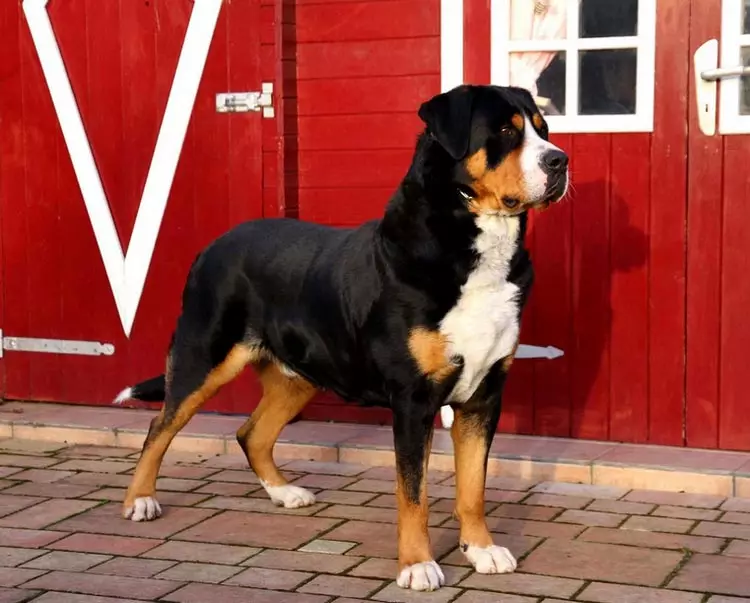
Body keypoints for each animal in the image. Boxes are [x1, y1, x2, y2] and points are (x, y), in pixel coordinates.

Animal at [116, 85, 568, 596]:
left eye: (543, 129)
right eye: (507, 131)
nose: (560, 160)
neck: (474, 249)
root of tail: (213, 245)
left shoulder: (482, 396)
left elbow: (473, 487)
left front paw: (481, 549)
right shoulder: (413, 400)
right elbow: (413, 494)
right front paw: (417, 565)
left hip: (300, 376)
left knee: (251, 433)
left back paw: (284, 492)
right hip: (203, 357)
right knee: (160, 427)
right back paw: (140, 501)